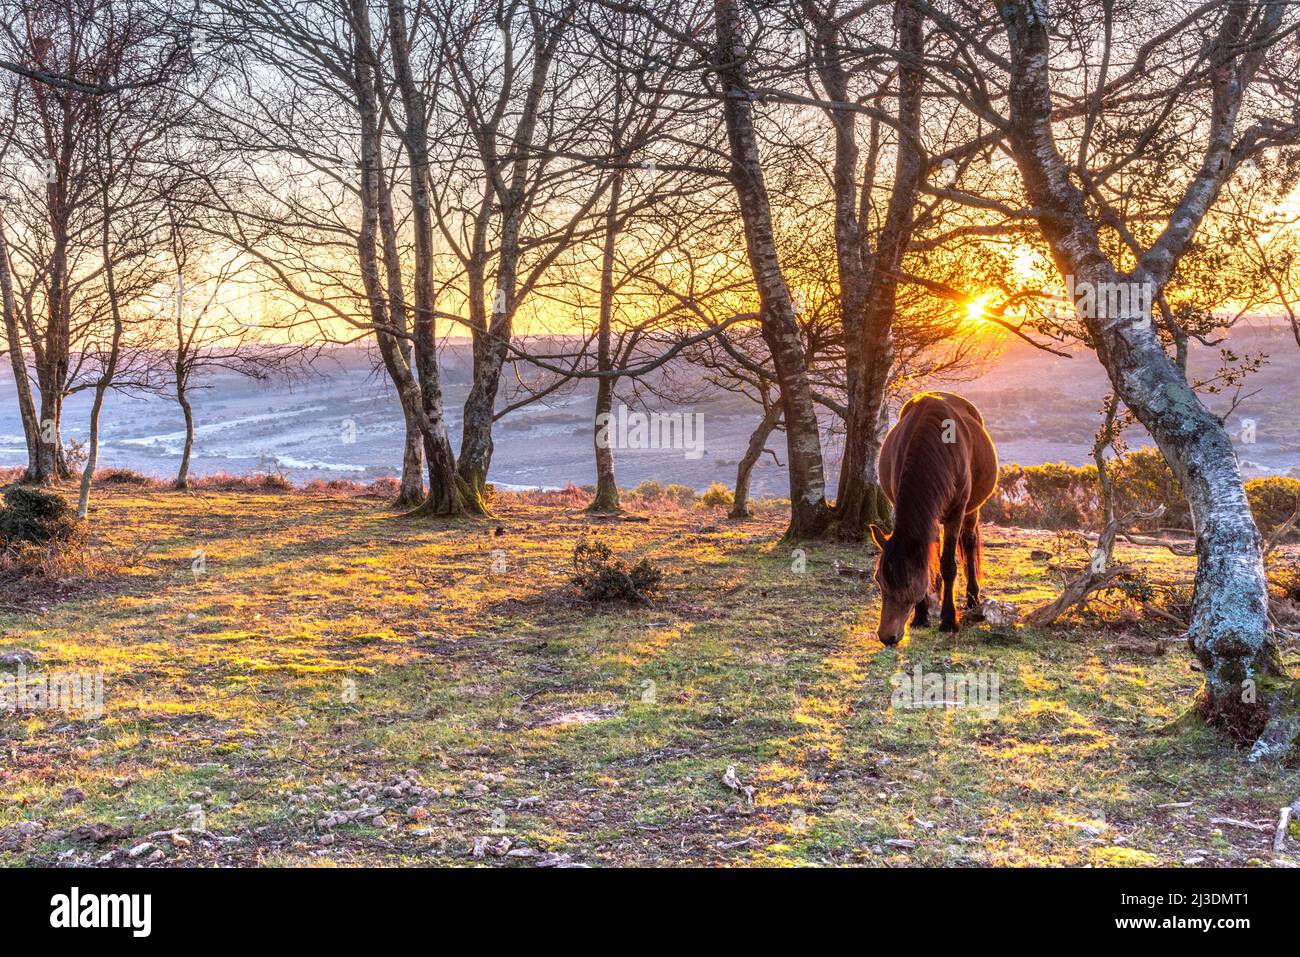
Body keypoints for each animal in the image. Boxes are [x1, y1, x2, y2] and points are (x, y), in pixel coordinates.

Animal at [869, 392, 997, 646]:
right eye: (879, 579)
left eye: (907, 583)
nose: (886, 636)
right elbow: (929, 562)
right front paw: (921, 616)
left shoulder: (956, 512)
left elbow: (948, 564)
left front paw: (948, 620)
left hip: (971, 510)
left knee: (969, 543)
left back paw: (972, 598)